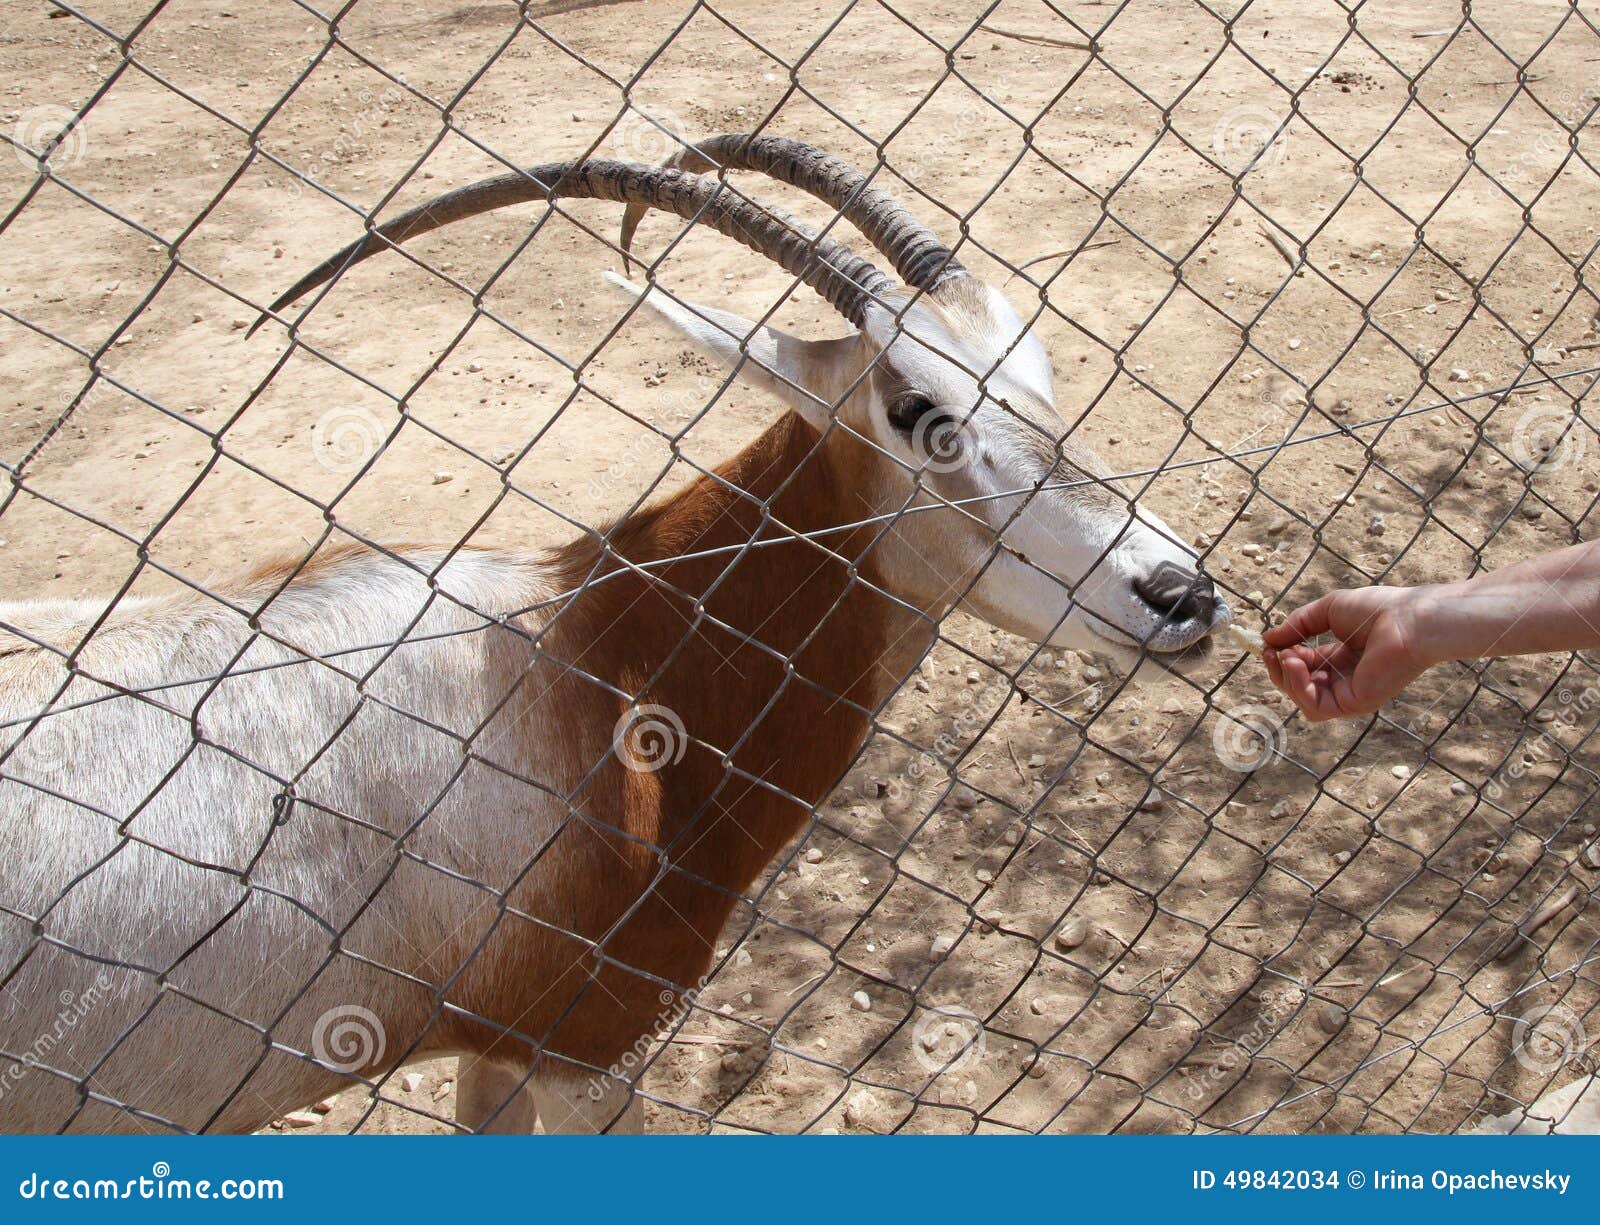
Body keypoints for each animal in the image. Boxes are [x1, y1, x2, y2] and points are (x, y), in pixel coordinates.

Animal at [0, 135, 1229, 1134]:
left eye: (1040, 376)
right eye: (918, 411)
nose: (1181, 593)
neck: (585, 654)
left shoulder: (496, 1047)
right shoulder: (589, 1049)